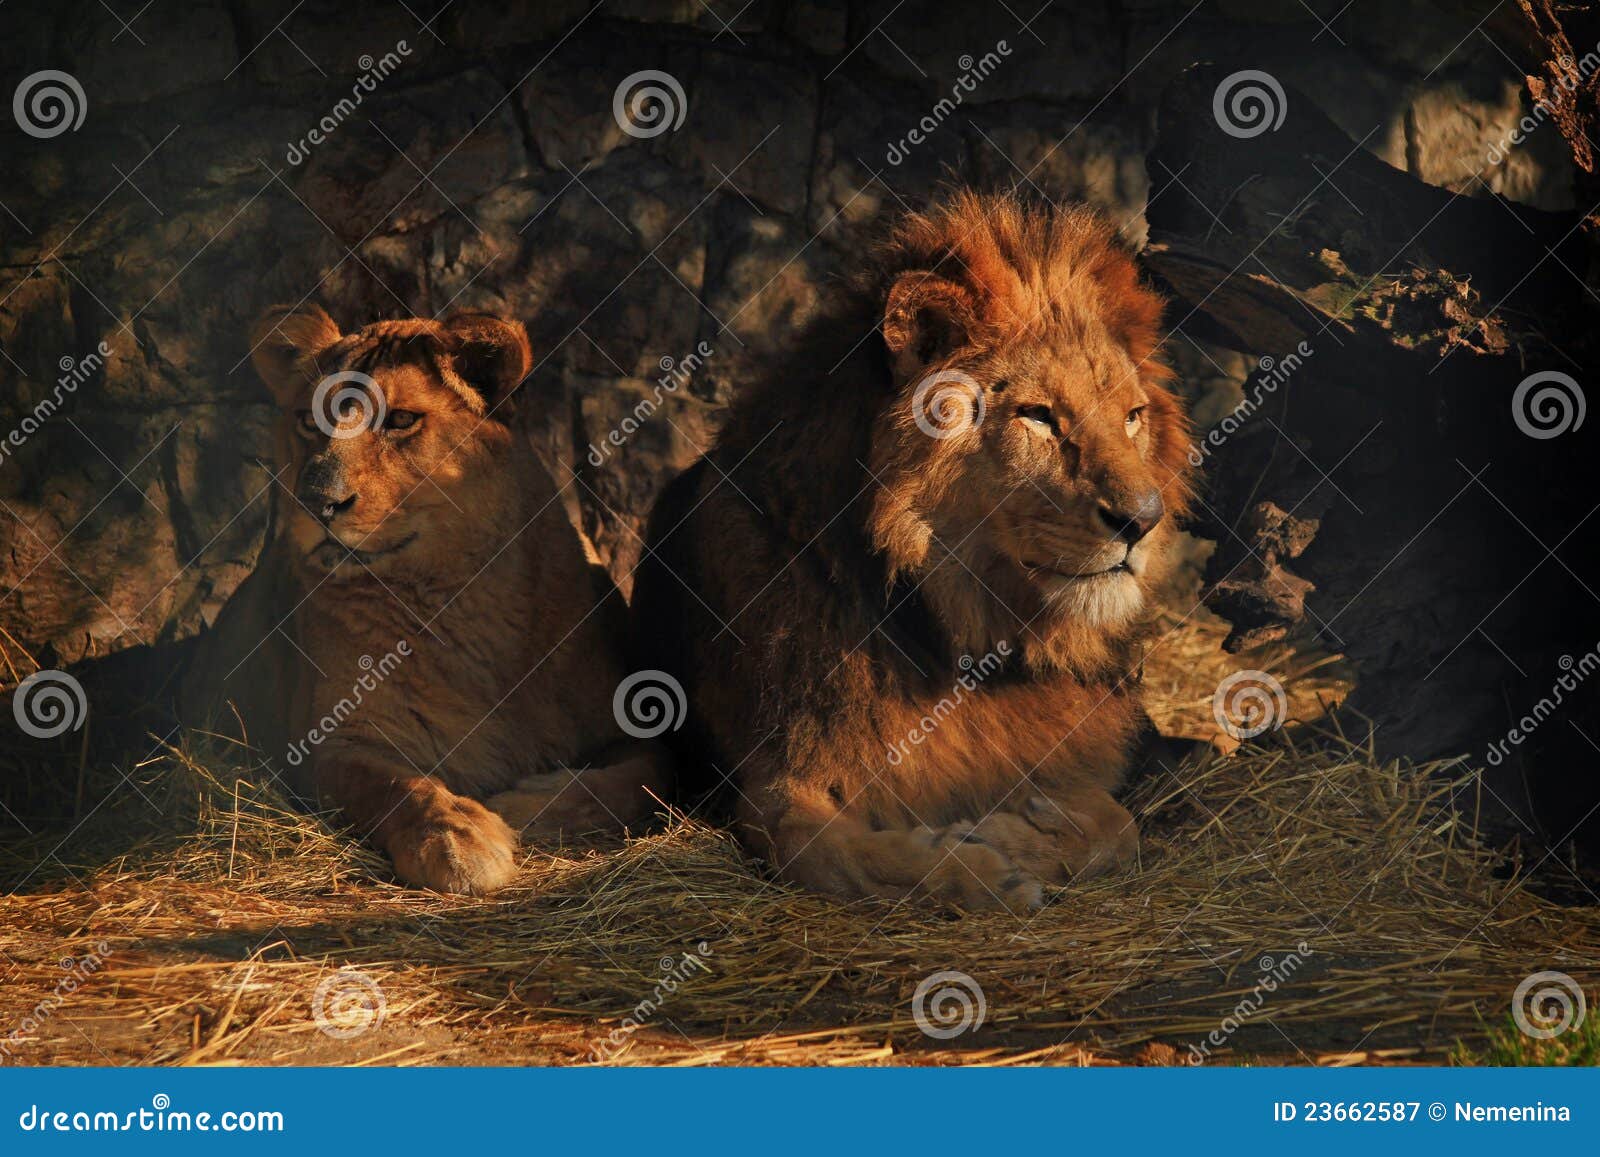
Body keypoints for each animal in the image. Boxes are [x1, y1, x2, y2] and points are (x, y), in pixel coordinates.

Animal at [181, 306, 668, 894]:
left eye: (400, 420)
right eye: (307, 421)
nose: (315, 500)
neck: (466, 598)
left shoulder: (633, 720)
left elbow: (644, 777)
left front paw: (523, 805)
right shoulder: (335, 741)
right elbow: (398, 786)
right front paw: (459, 838)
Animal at [631, 191, 1194, 911]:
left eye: (1132, 417)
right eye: (1038, 416)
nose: (1144, 520)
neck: (963, 633)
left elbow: (1119, 827)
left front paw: (1017, 831)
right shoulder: (777, 775)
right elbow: (834, 853)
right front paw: (982, 867)